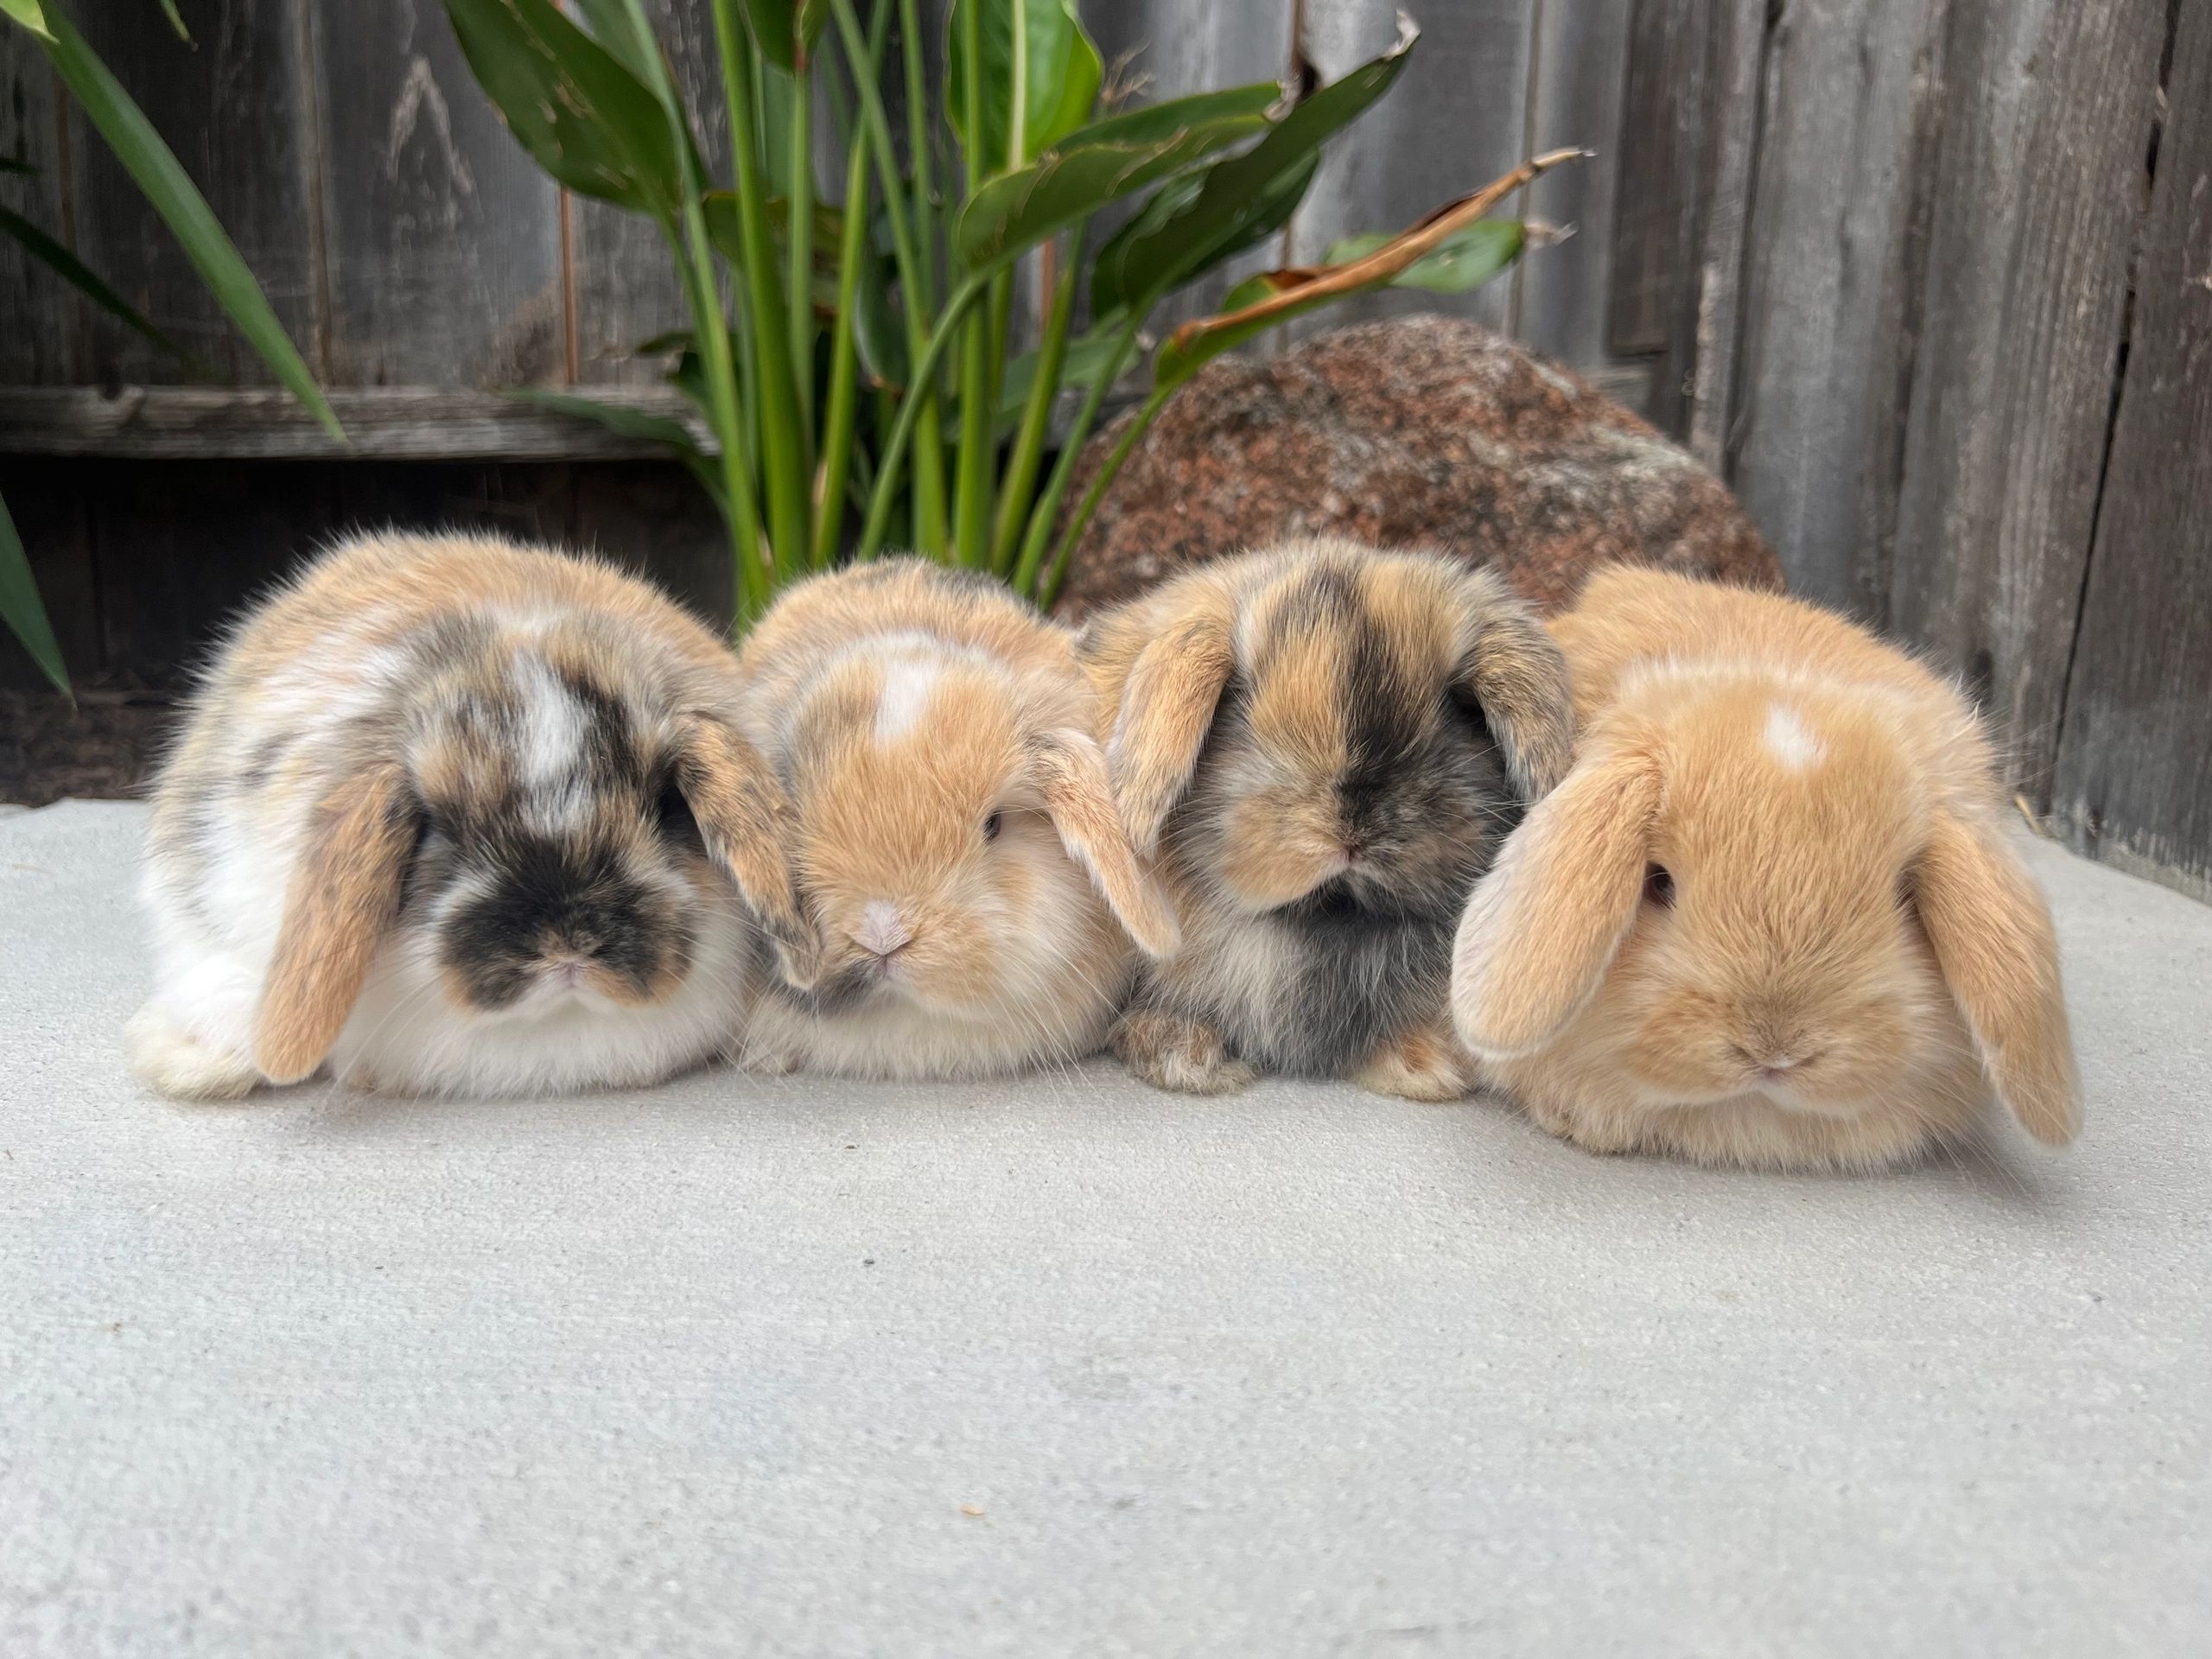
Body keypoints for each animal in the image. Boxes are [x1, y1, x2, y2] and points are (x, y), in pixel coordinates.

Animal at [1083, 539, 1575, 1099]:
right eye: (1235, 705)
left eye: (1461, 712)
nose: (1354, 828)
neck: (1326, 926)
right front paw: (1188, 1058)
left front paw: (1424, 1070)